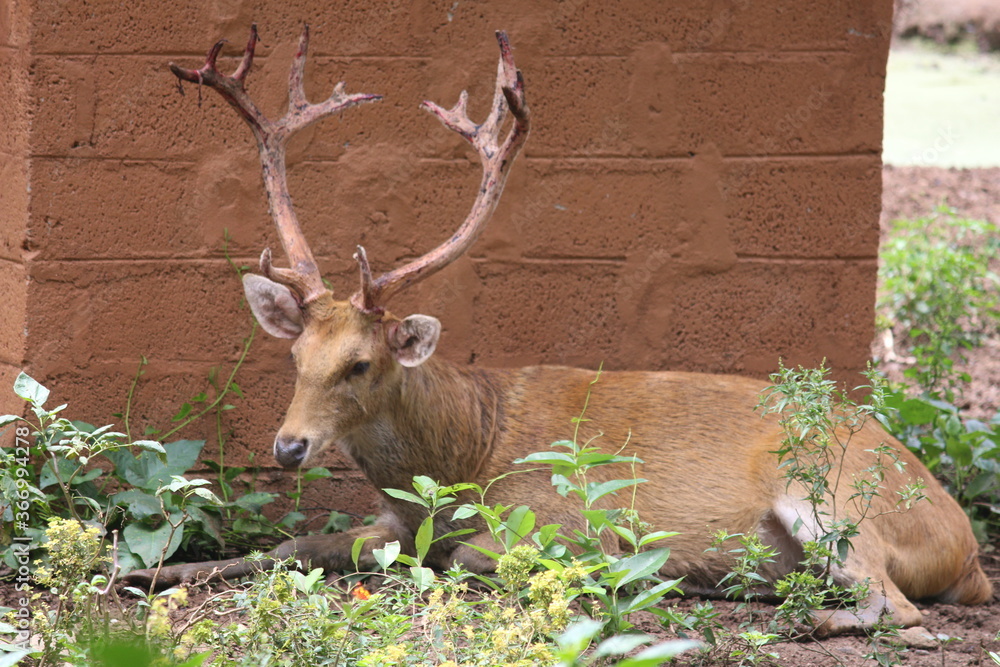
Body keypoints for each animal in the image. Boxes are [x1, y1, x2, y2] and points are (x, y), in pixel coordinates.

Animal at [123, 25, 993, 636]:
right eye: (296, 353)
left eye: (362, 362)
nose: (288, 445)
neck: (463, 456)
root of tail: (966, 544)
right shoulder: (393, 518)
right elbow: (290, 547)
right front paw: (147, 571)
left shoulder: (562, 523)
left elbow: (464, 558)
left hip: (835, 494)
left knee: (901, 608)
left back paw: (787, 612)